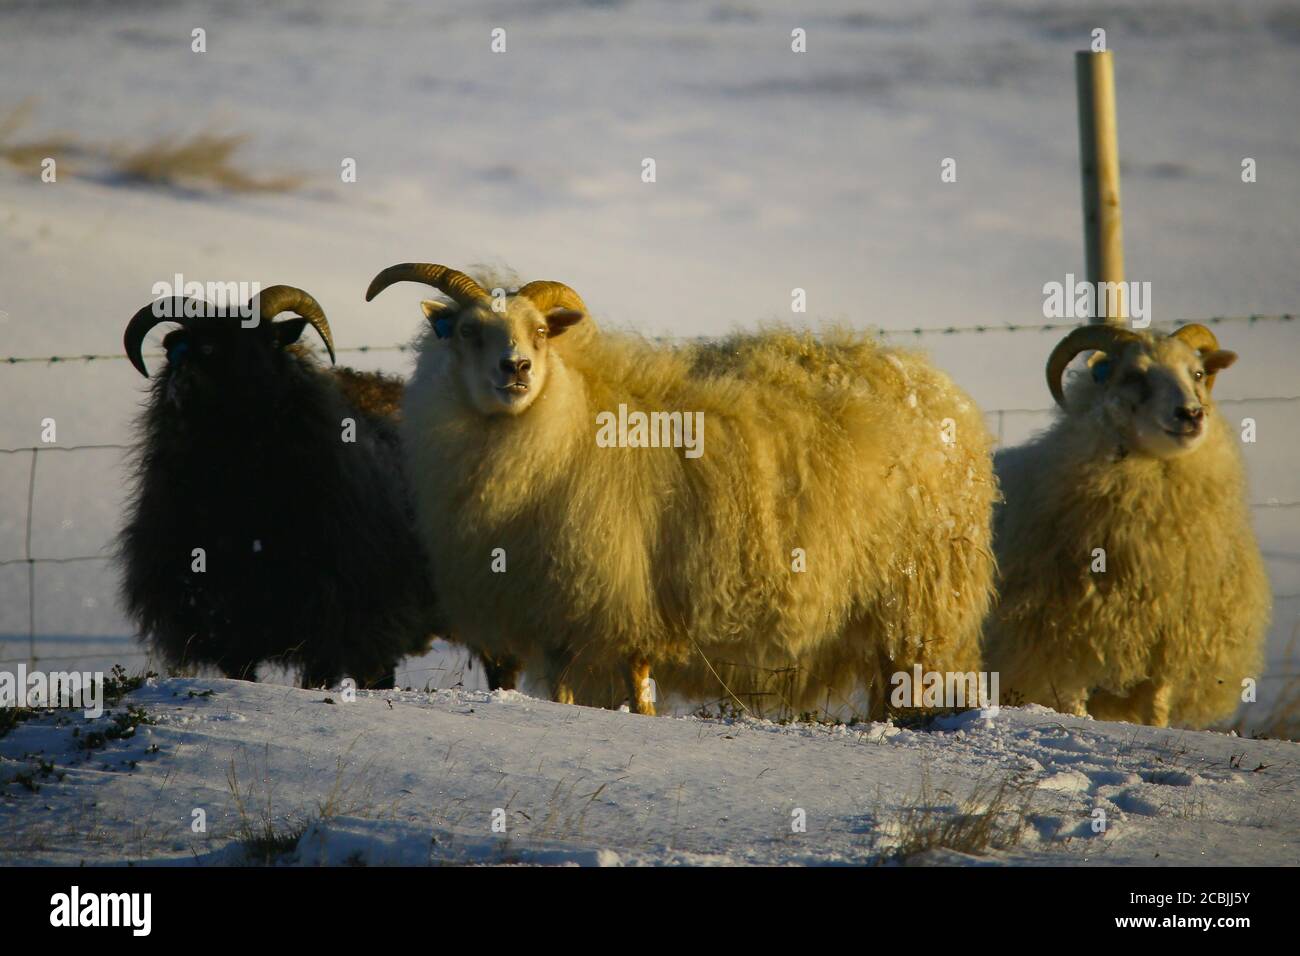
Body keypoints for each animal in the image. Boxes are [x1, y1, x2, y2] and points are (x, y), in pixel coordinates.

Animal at [117, 285, 440, 689]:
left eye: (271, 339)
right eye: (201, 346)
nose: (255, 385)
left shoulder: (331, 615)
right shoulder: (221, 618)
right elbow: (242, 674)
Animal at [366, 262, 998, 717]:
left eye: (541, 333)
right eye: (468, 330)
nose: (516, 368)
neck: (567, 421)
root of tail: (945, 392)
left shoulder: (628, 601)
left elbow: (638, 690)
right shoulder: (558, 612)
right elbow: (563, 691)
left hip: (918, 605)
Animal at [984, 323, 1271, 728]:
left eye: (1198, 374)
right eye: (1135, 375)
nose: (1191, 414)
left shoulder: (1169, 644)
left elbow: (1157, 712)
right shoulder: (1065, 645)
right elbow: (1074, 708)